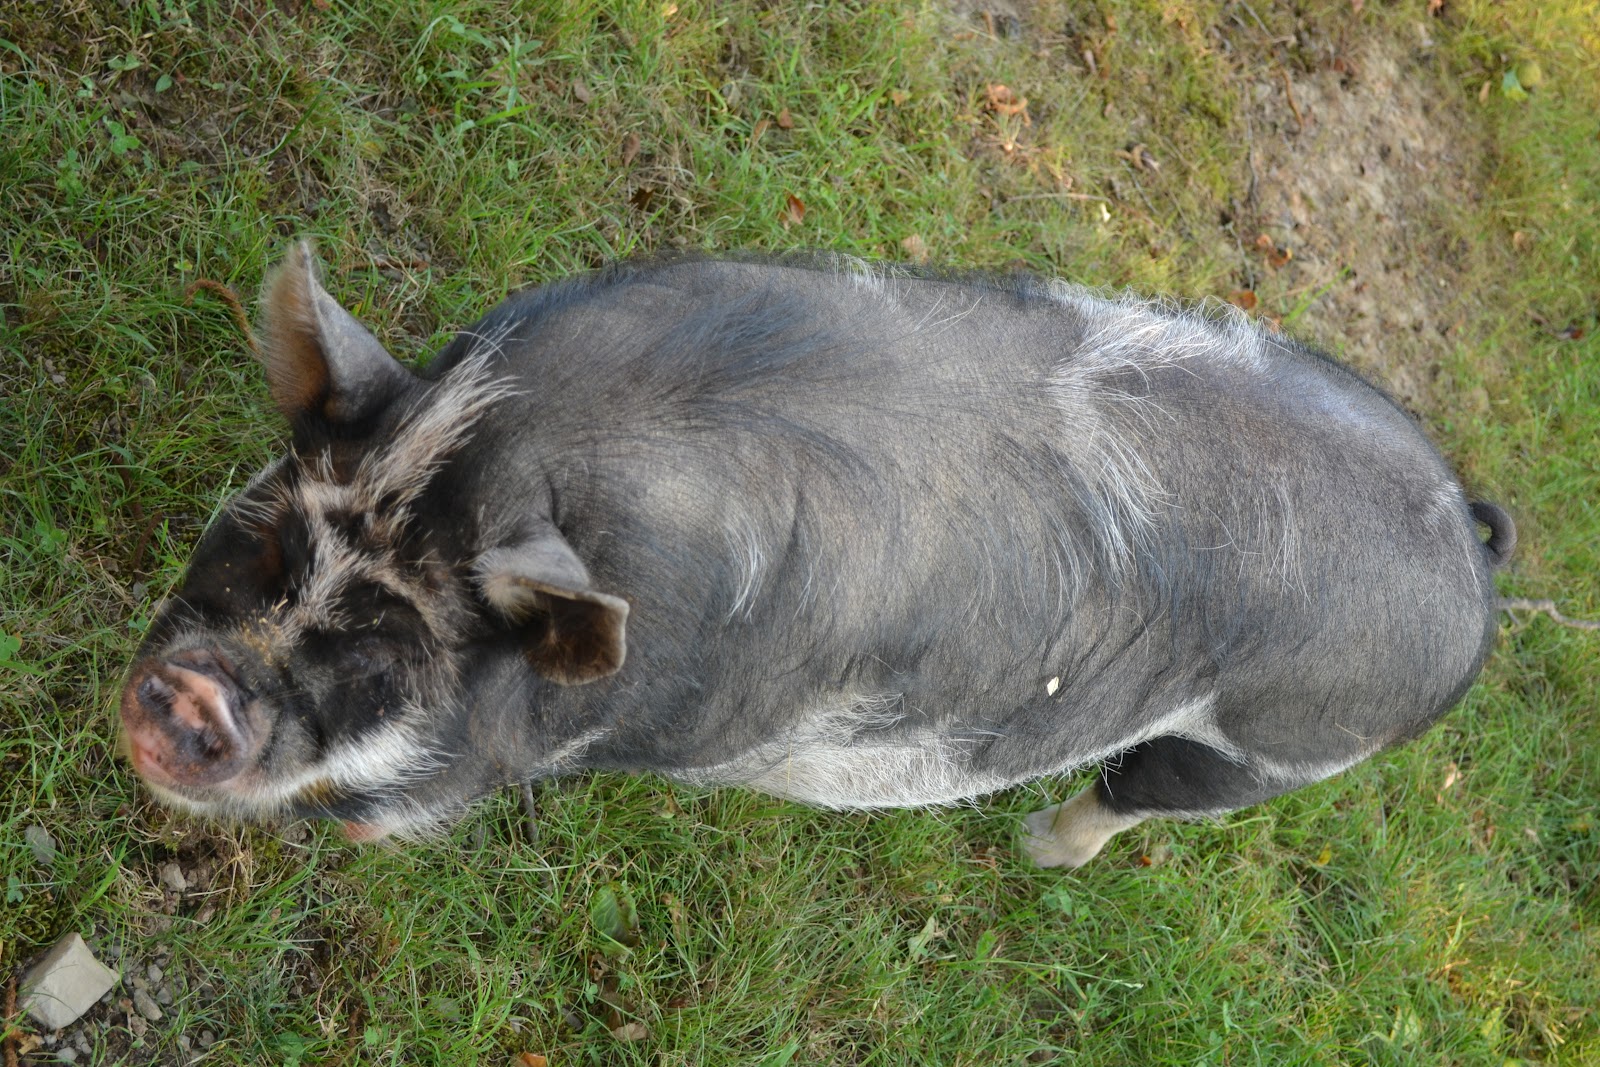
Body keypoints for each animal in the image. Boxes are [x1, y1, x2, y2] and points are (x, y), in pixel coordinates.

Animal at [120, 245, 1514, 866]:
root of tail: (1469, 548)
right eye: (266, 534)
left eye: (385, 653)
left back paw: (1037, 852)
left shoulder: (488, 762)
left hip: (1274, 750)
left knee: (1133, 796)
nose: (195, 695)